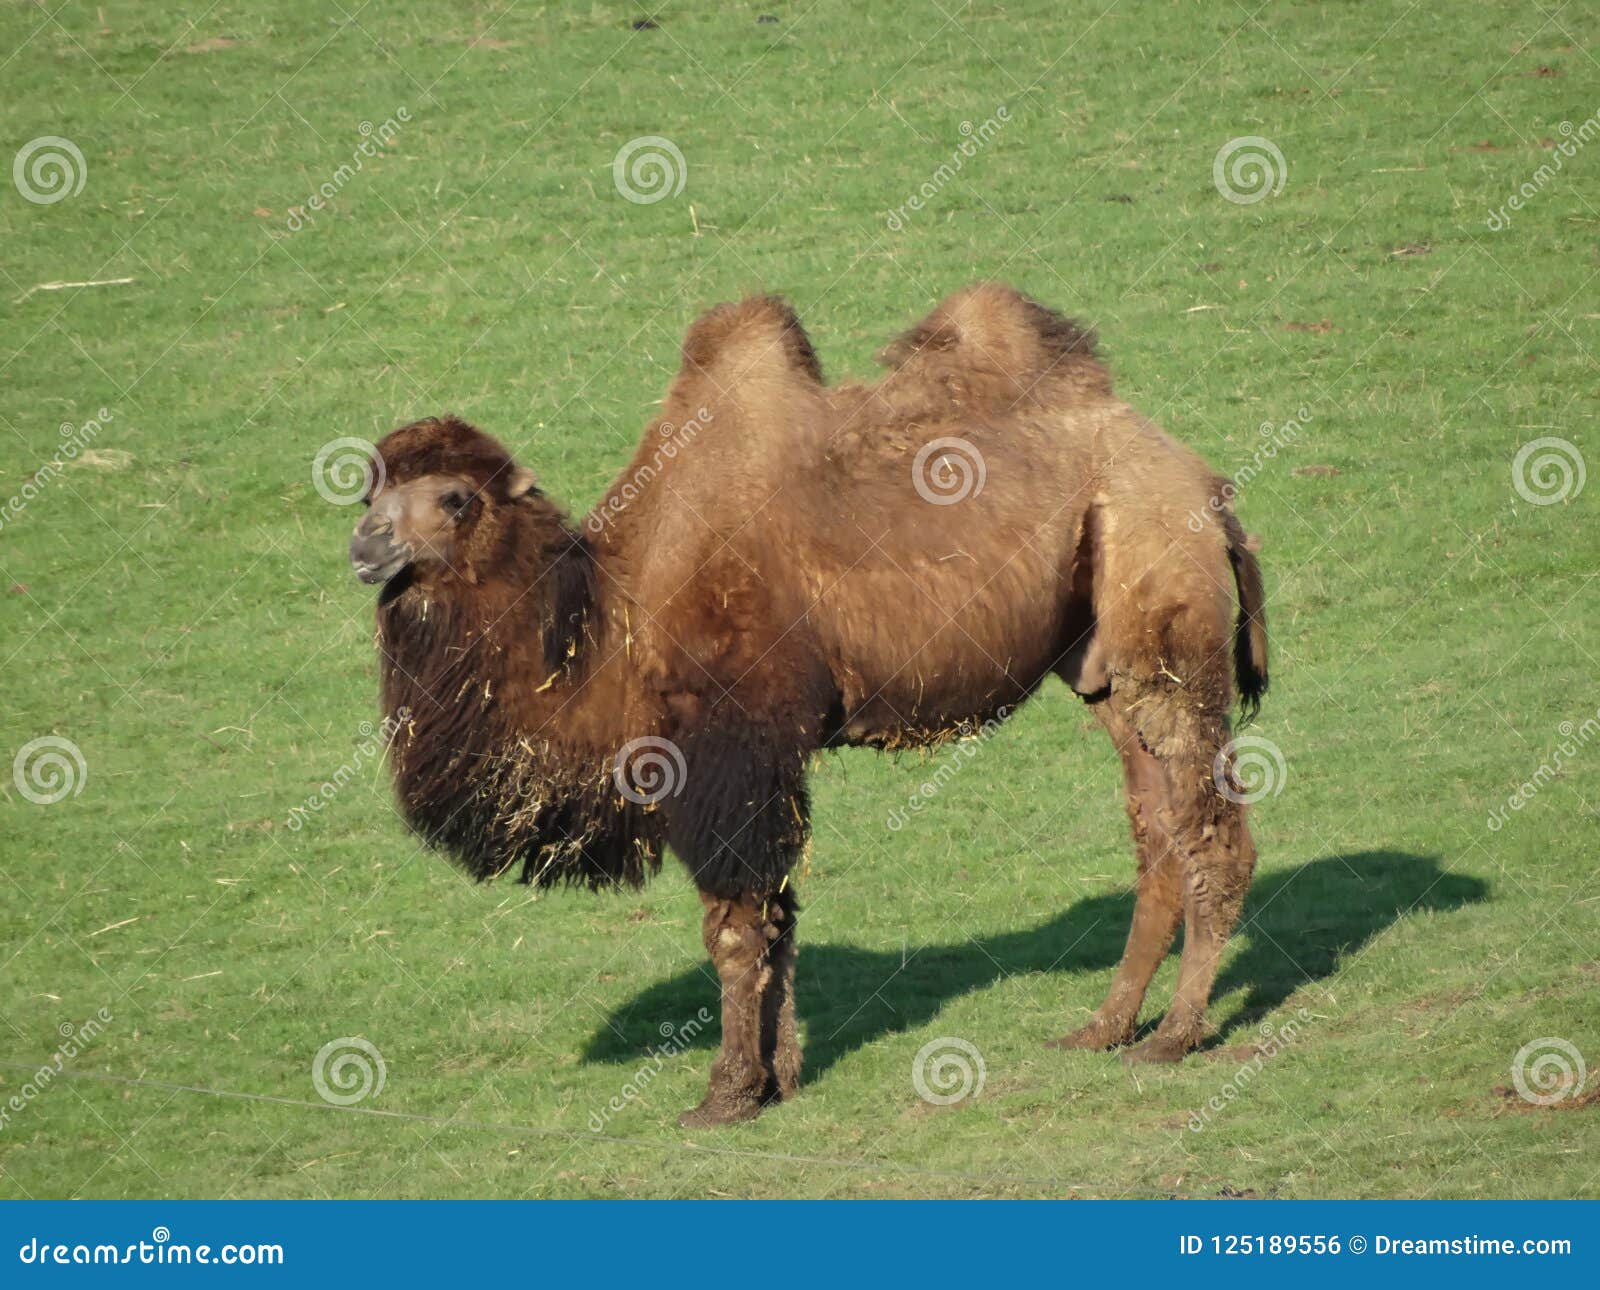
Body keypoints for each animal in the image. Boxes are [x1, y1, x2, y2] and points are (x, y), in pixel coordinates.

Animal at [346, 284, 1268, 1126]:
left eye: (455, 498)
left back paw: (1174, 1036)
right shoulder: (769, 761)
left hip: (1165, 620)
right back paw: (1103, 1027)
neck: (613, 612)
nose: (366, 545)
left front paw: (726, 1094)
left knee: (1212, 827)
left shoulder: (731, 750)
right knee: (1156, 829)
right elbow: (781, 915)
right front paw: (780, 1076)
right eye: (367, 495)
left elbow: (736, 922)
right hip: (1101, 665)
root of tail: (1205, 483)